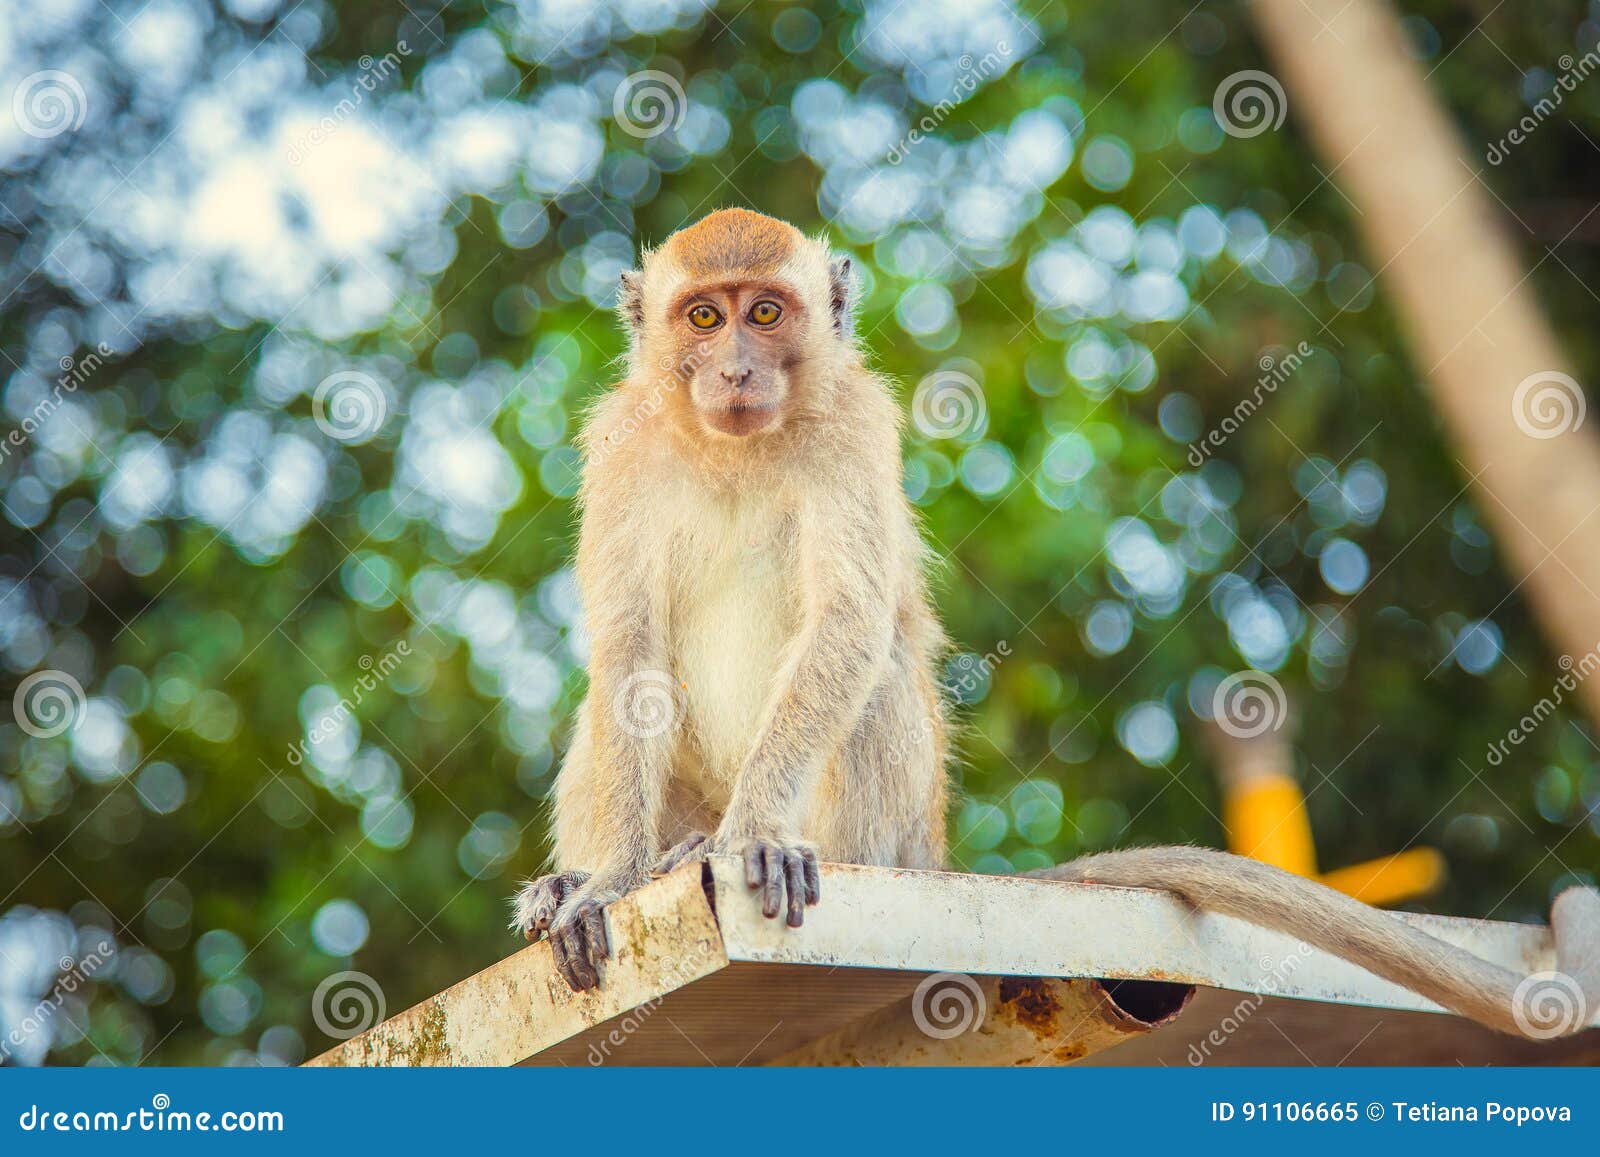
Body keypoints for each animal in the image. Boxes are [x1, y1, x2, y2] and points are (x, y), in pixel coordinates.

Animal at [512, 208, 1600, 1040]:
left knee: (877, 670)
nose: (736, 371)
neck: (733, 445)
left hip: (888, 833)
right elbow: (628, 653)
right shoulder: (621, 445)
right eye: (705, 316)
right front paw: (607, 880)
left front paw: (752, 836)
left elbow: (848, 624)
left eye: (766, 313)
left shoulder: (855, 424)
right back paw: (593, 874)